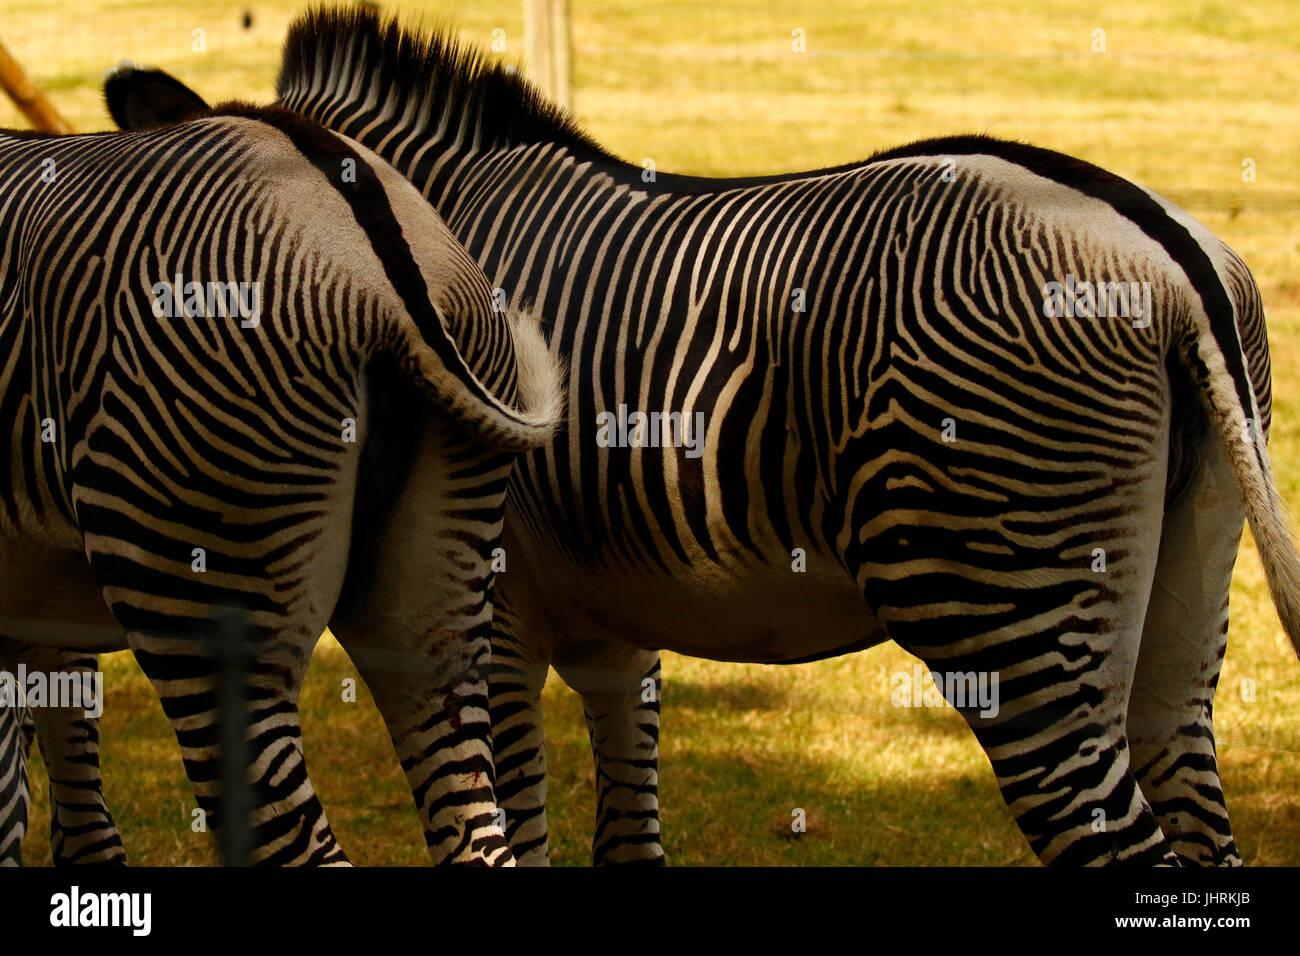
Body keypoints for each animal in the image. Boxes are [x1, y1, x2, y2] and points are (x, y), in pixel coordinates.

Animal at [104, 10, 1300, 867]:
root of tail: (1156, 247)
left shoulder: (494, 610)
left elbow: (520, 825)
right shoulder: (615, 621)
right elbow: (627, 832)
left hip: (1008, 600)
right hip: (1183, 594)